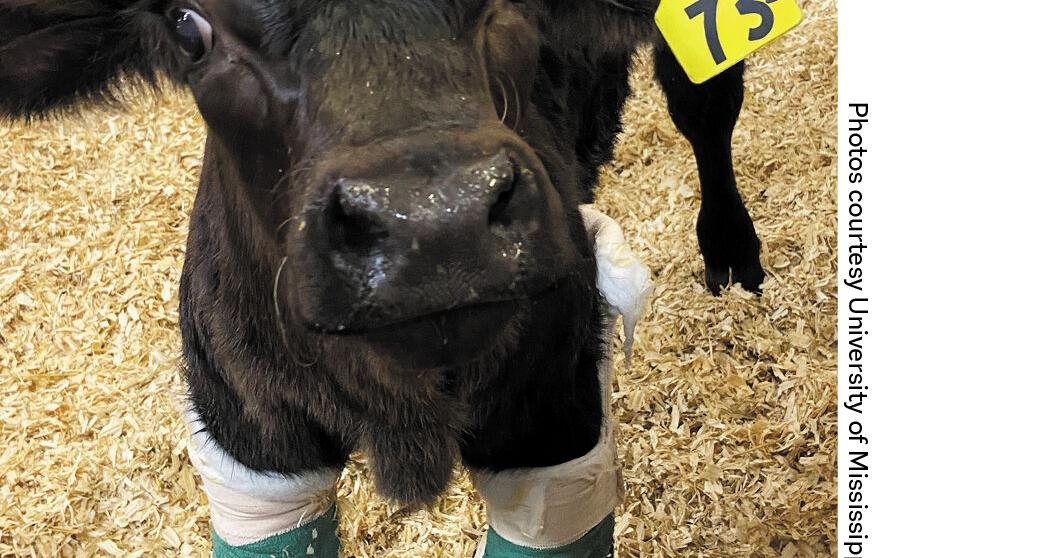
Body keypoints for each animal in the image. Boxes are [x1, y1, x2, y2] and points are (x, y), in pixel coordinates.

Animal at [0, 0, 765, 555]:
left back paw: (731, 252)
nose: (435, 223)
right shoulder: (248, 439)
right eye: (189, 29)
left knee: (703, 101)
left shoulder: (558, 422)